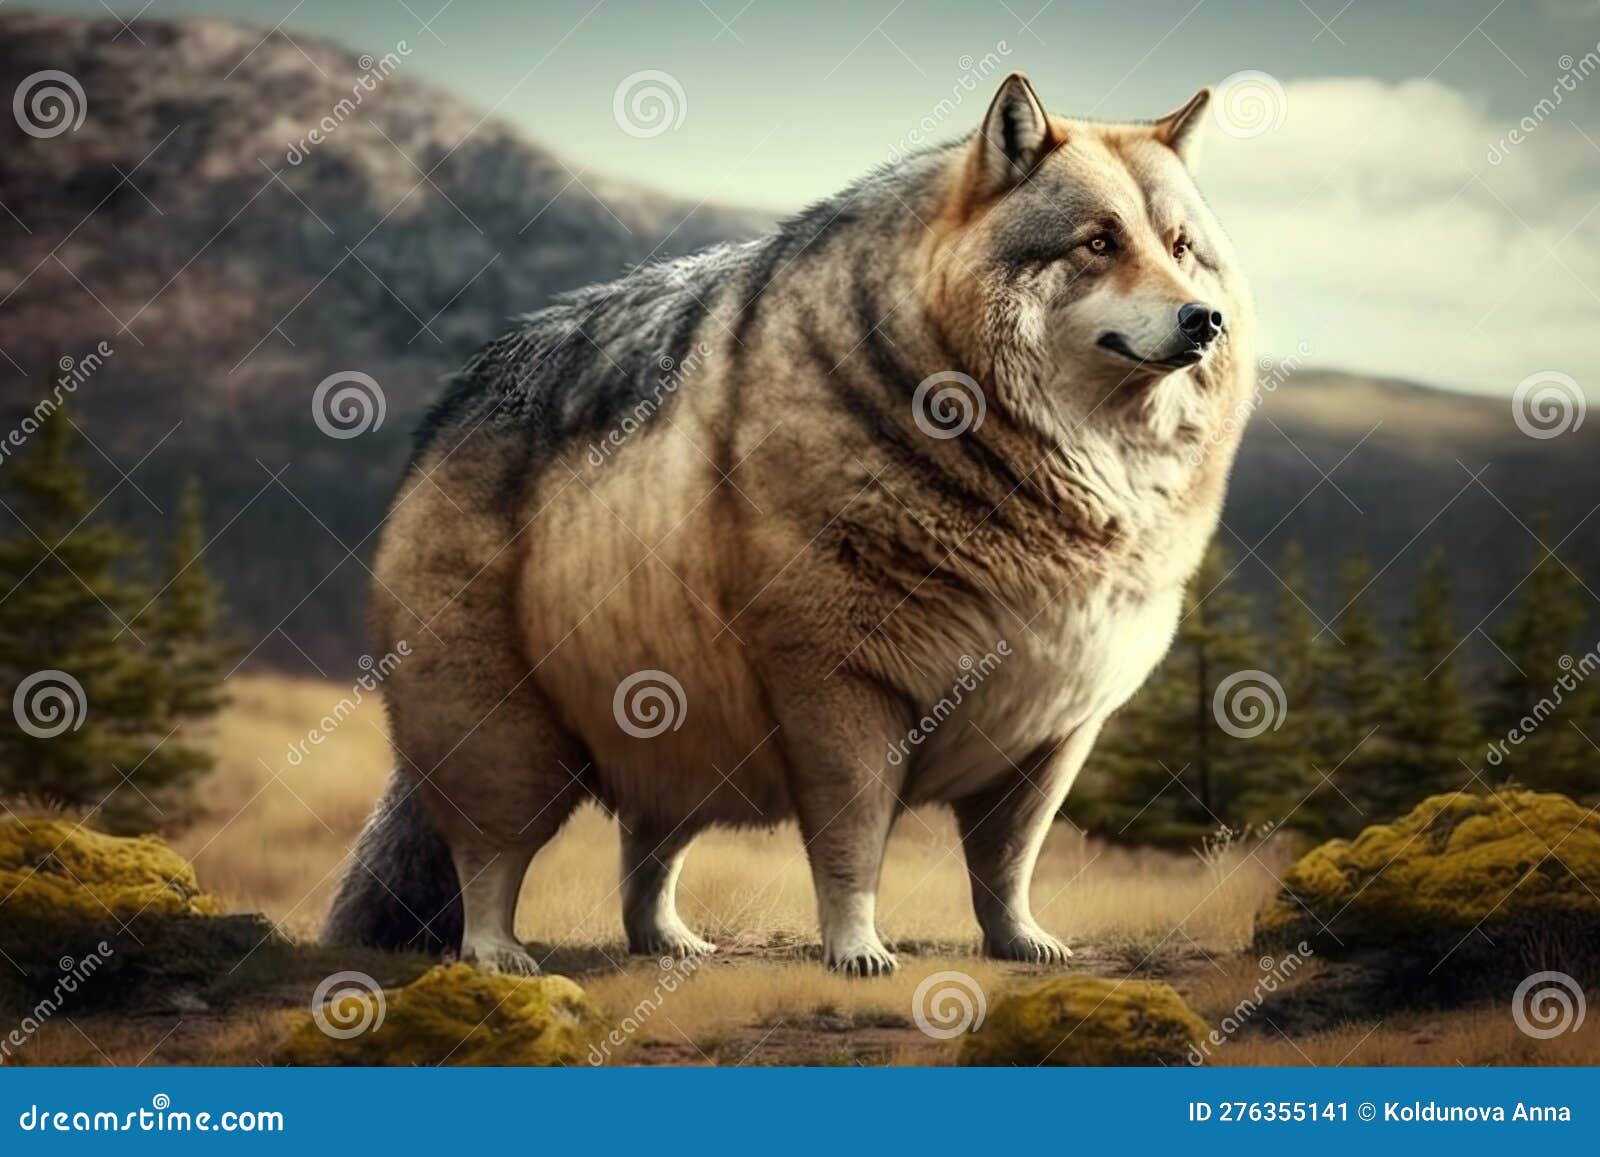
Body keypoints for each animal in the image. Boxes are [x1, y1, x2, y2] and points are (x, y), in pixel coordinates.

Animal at [324, 73, 1255, 975]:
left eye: (1180, 247)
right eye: (1098, 242)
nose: (1202, 319)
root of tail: (455, 401)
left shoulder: (1056, 729)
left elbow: (1009, 862)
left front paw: (1023, 943)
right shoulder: (840, 691)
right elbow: (853, 846)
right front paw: (858, 952)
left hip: (675, 728)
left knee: (645, 860)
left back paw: (669, 943)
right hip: (510, 746)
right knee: (489, 861)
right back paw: (498, 956)